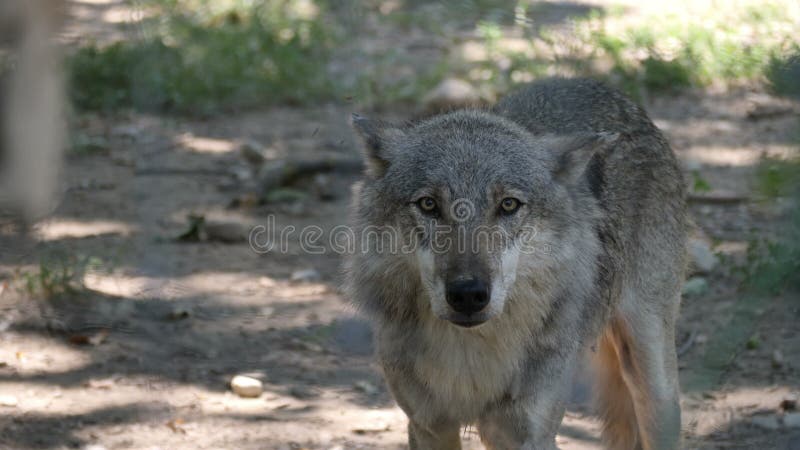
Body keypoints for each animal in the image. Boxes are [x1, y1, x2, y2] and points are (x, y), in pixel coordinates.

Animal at [345, 77, 687, 450]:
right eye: (428, 204)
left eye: (508, 204)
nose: (468, 294)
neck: (471, 355)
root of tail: (603, 88)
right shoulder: (428, 426)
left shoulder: (530, 433)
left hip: (654, 387)